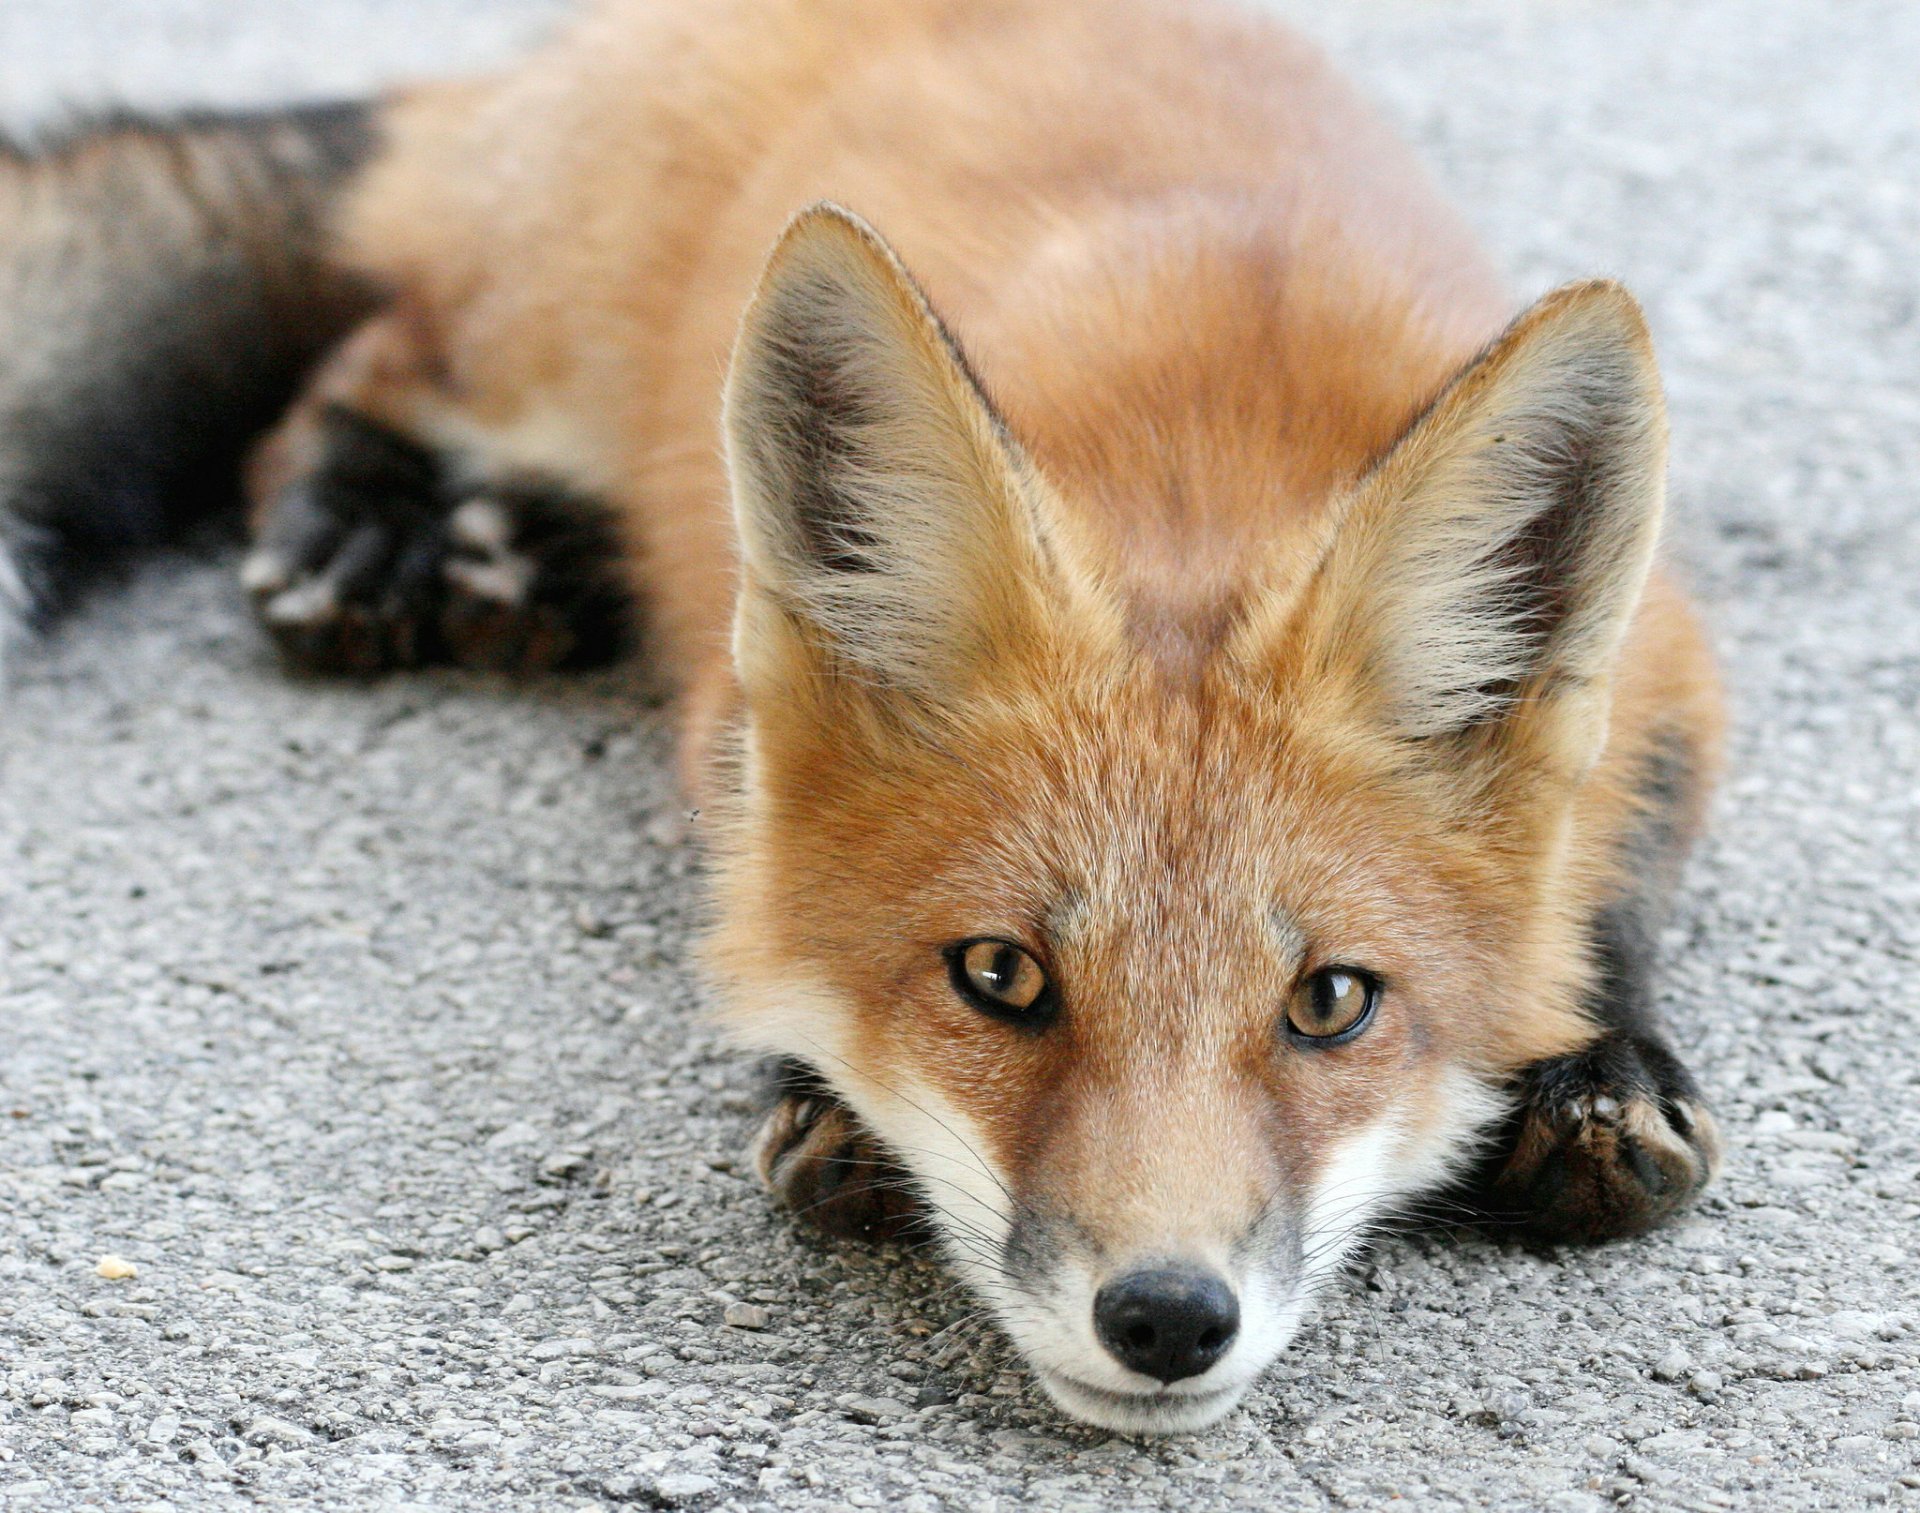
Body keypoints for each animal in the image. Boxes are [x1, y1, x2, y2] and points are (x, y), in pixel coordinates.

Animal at [0, 0, 1725, 1433]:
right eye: (999, 976)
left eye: (1334, 1003)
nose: (1168, 1317)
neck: (1201, 463)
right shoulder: (726, 706)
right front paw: (829, 1097)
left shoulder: (1672, 664)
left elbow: (1614, 875)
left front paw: (1597, 1065)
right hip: (545, 342)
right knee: (361, 360)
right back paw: (373, 524)